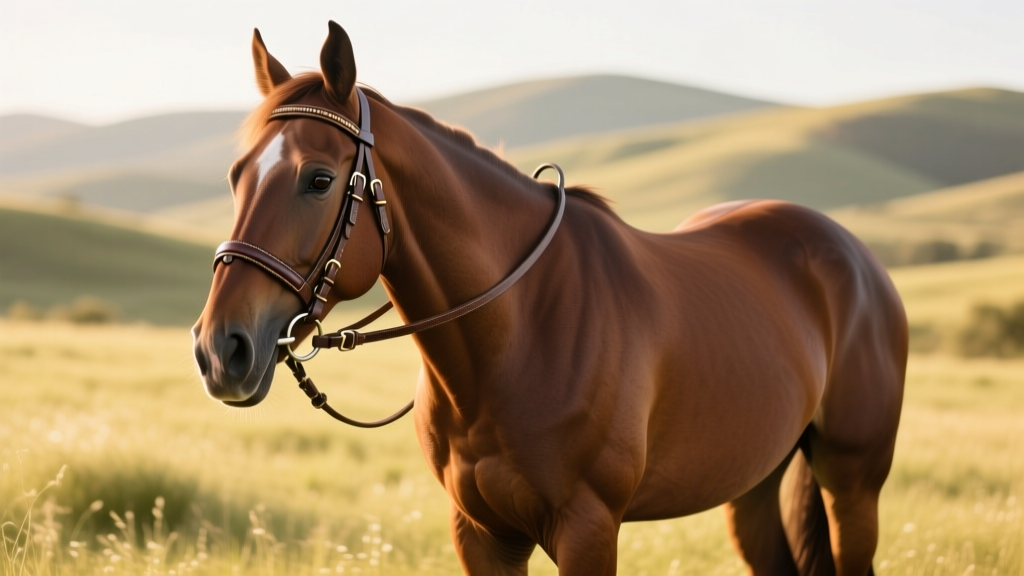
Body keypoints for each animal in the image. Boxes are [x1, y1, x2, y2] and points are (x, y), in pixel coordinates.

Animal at [191, 21, 907, 576]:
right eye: (235, 176)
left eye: (318, 179)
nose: (220, 351)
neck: (518, 336)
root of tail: (851, 255)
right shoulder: (481, 535)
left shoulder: (587, 528)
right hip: (753, 486)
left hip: (853, 485)